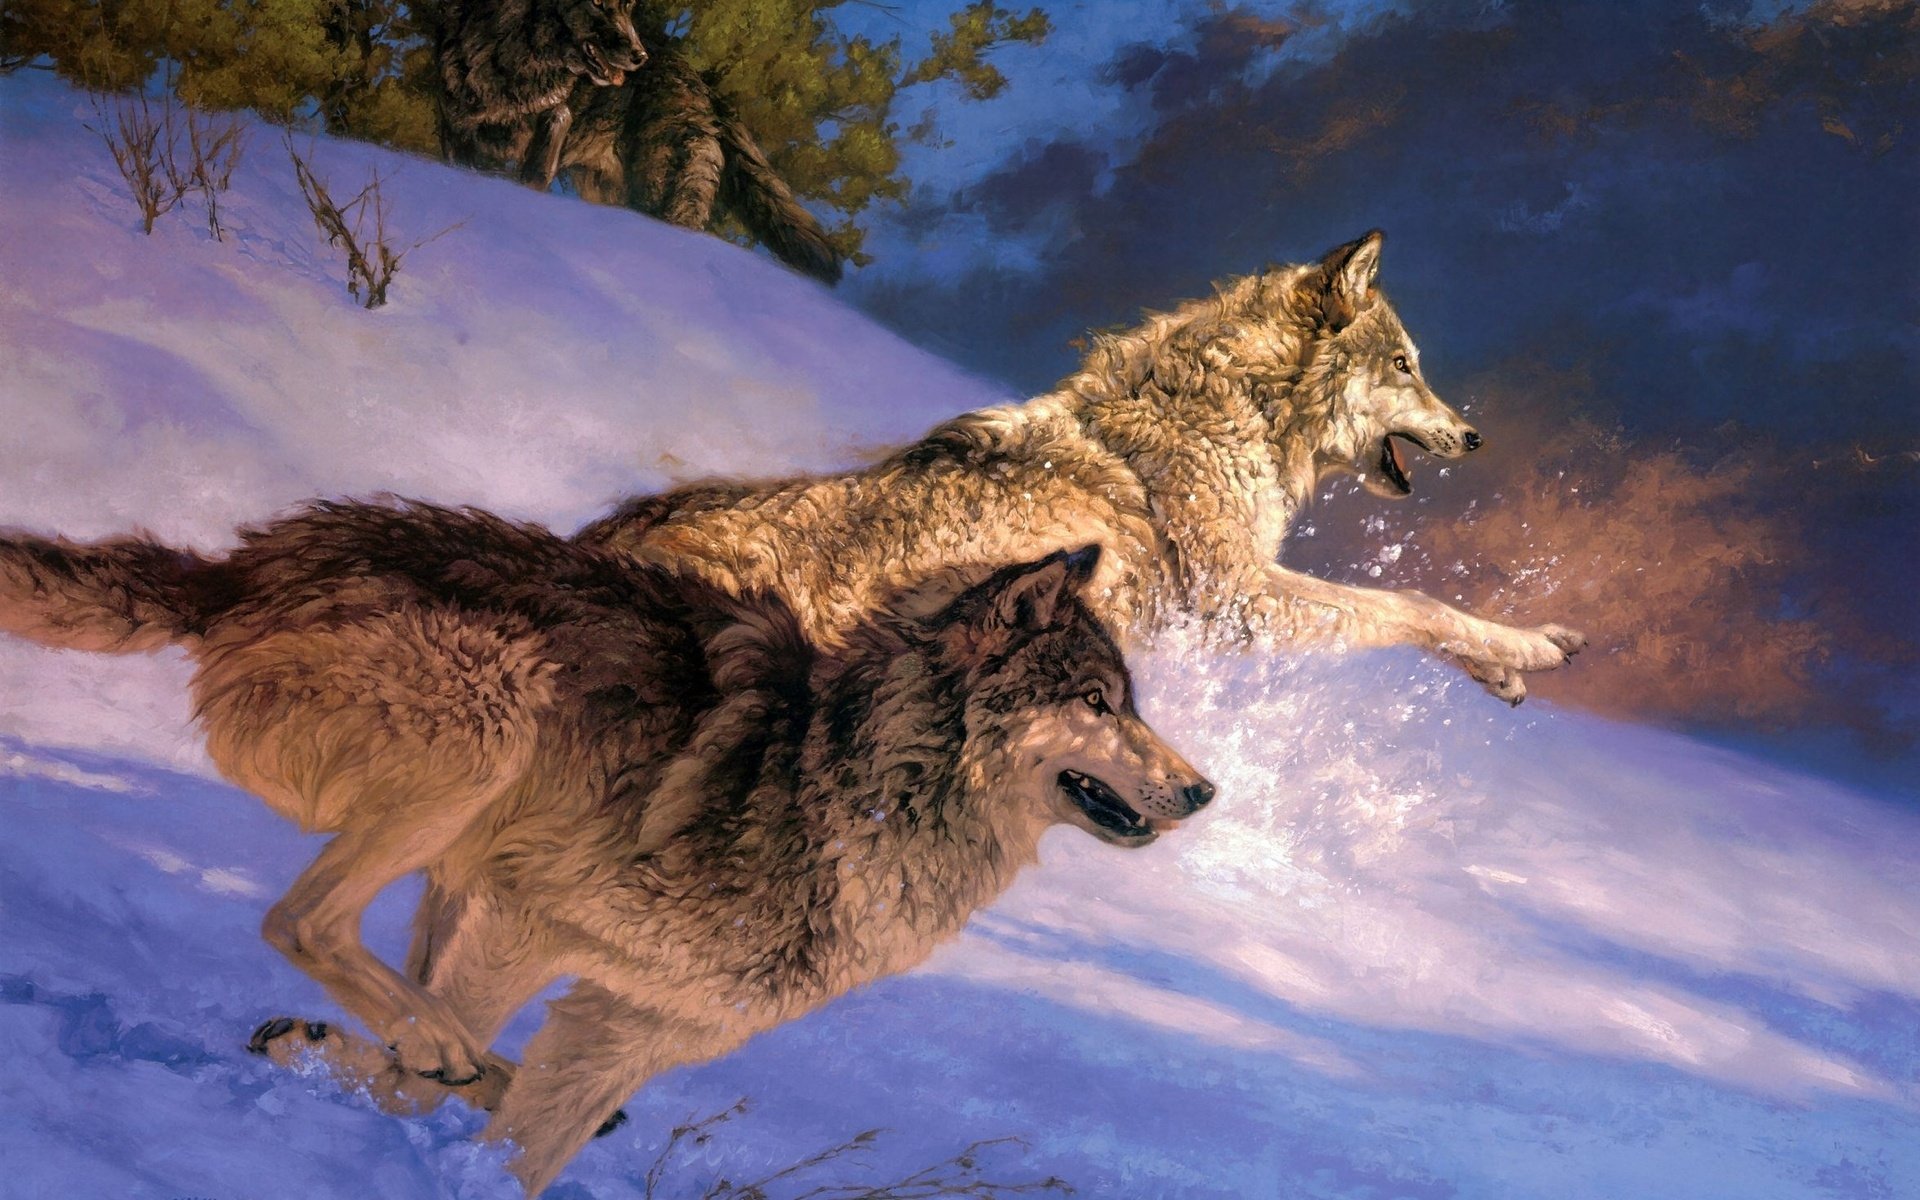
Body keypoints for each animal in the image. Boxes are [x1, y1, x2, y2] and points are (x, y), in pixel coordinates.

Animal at [0, 503, 1207, 1195]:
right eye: (1099, 702)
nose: (1204, 792)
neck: (847, 787)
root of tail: (242, 569)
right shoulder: (526, 916)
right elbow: (425, 1091)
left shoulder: (631, 1027)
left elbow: (528, 1148)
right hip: (492, 735)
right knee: (305, 923)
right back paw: (425, 1043)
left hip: (457, 850)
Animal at [579, 230, 1586, 704]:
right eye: (1407, 365)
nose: (1475, 438)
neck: (1234, 415)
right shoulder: (1235, 602)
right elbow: (1410, 604)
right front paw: (1532, 645)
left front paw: (1506, 668)